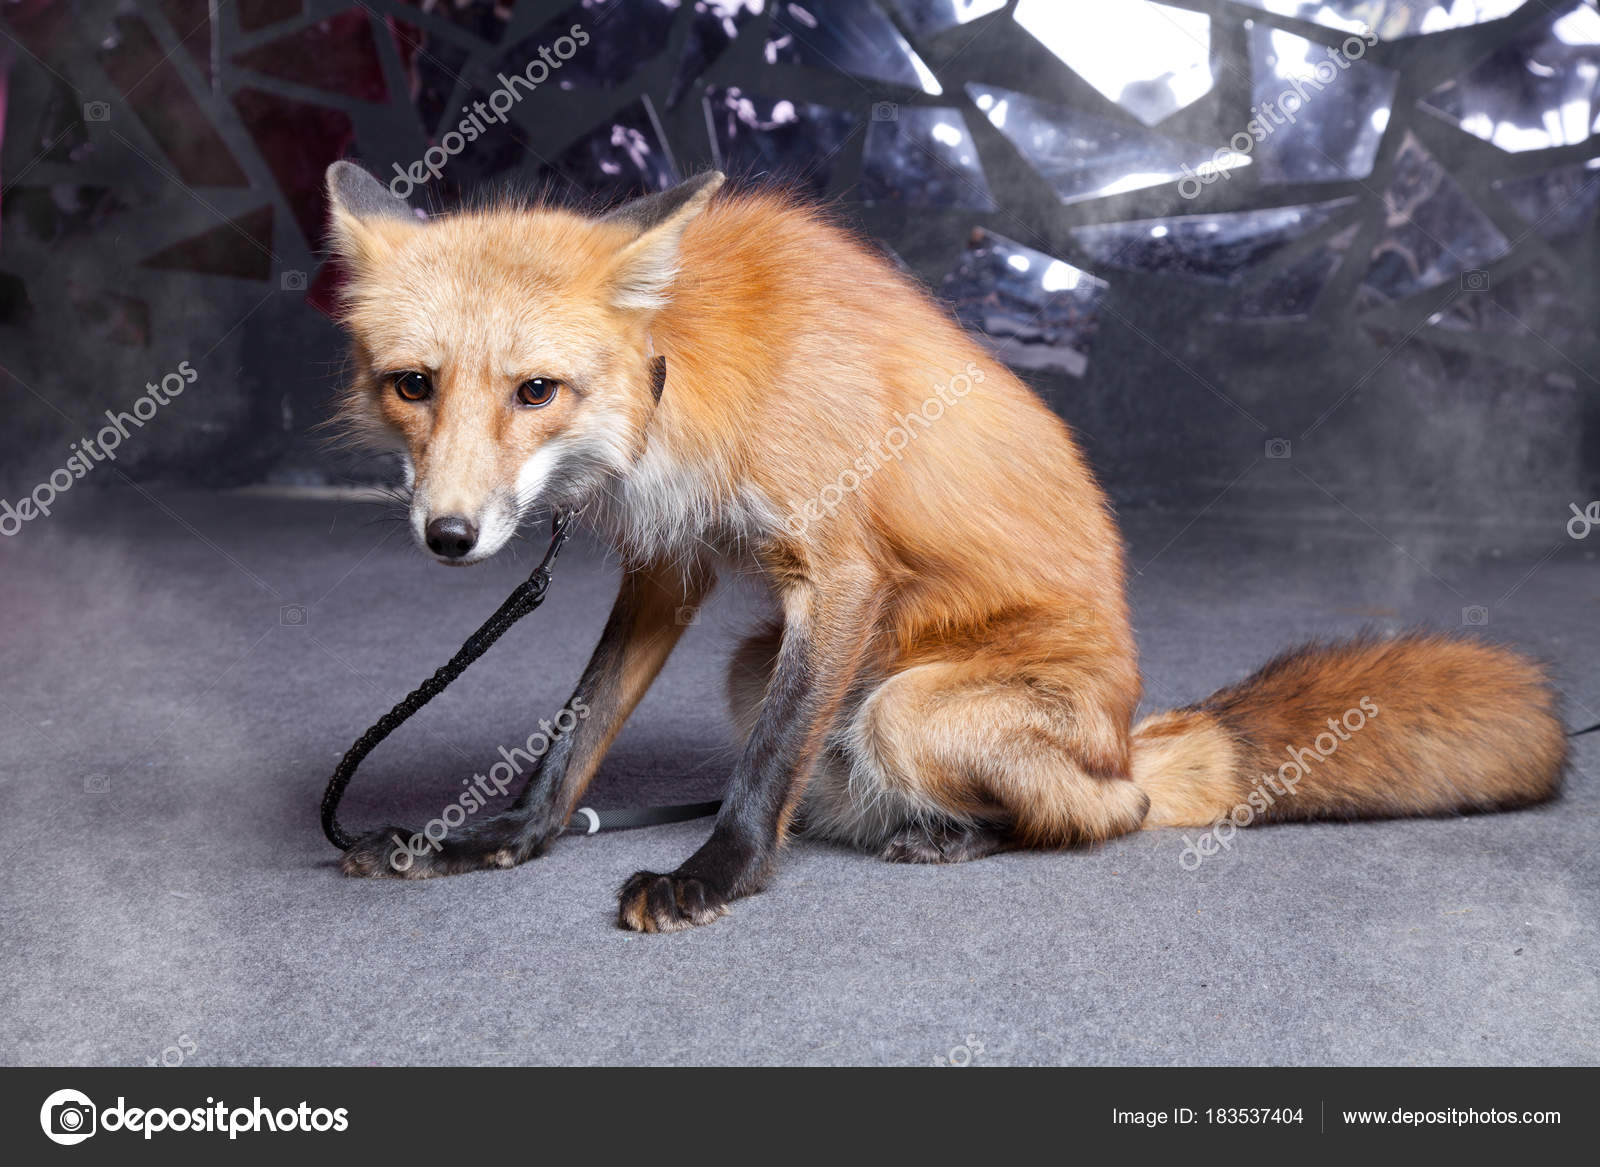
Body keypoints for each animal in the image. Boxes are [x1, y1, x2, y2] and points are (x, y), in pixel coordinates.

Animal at [323, 161, 1568, 932]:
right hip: (756, 663)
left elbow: (763, 768)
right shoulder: (669, 569)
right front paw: (501, 840)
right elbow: (574, 738)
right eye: (413, 385)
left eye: (535, 391)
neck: (692, 372)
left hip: (903, 708)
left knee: (1101, 817)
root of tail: (1132, 738)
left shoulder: (839, 571)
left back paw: (957, 837)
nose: (448, 535)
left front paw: (716, 875)